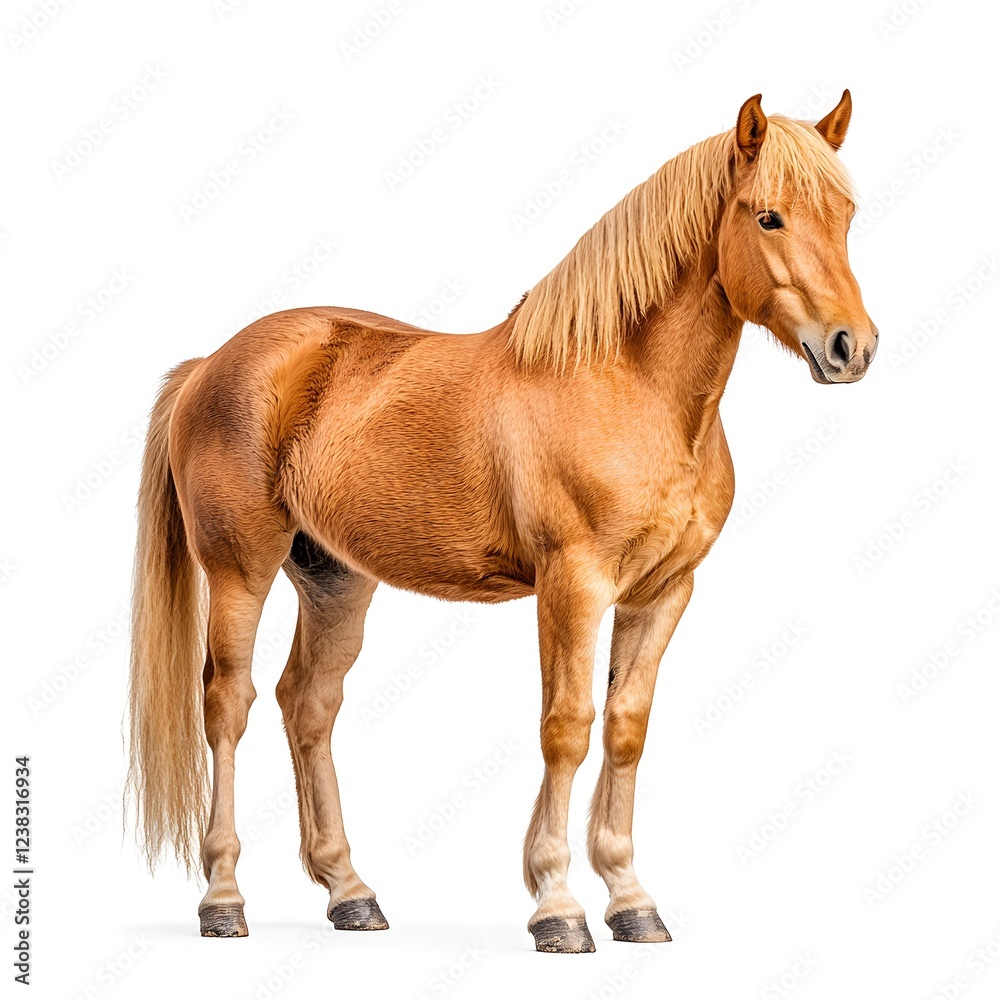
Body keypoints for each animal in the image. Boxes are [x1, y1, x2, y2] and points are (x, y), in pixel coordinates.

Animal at [126, 90, 877, 953]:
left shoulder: (663, 593)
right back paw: (223, 898)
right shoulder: (573, 586)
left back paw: (351, 893)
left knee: (307, 706)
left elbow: (626, 728)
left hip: (334, 579)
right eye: (768, 217)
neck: (626, 384)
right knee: (228, 704)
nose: (852, 348)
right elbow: (568, 726)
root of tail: (209, 365)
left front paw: (632, 900)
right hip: (240, 571)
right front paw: (558, 907)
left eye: (846, 215)